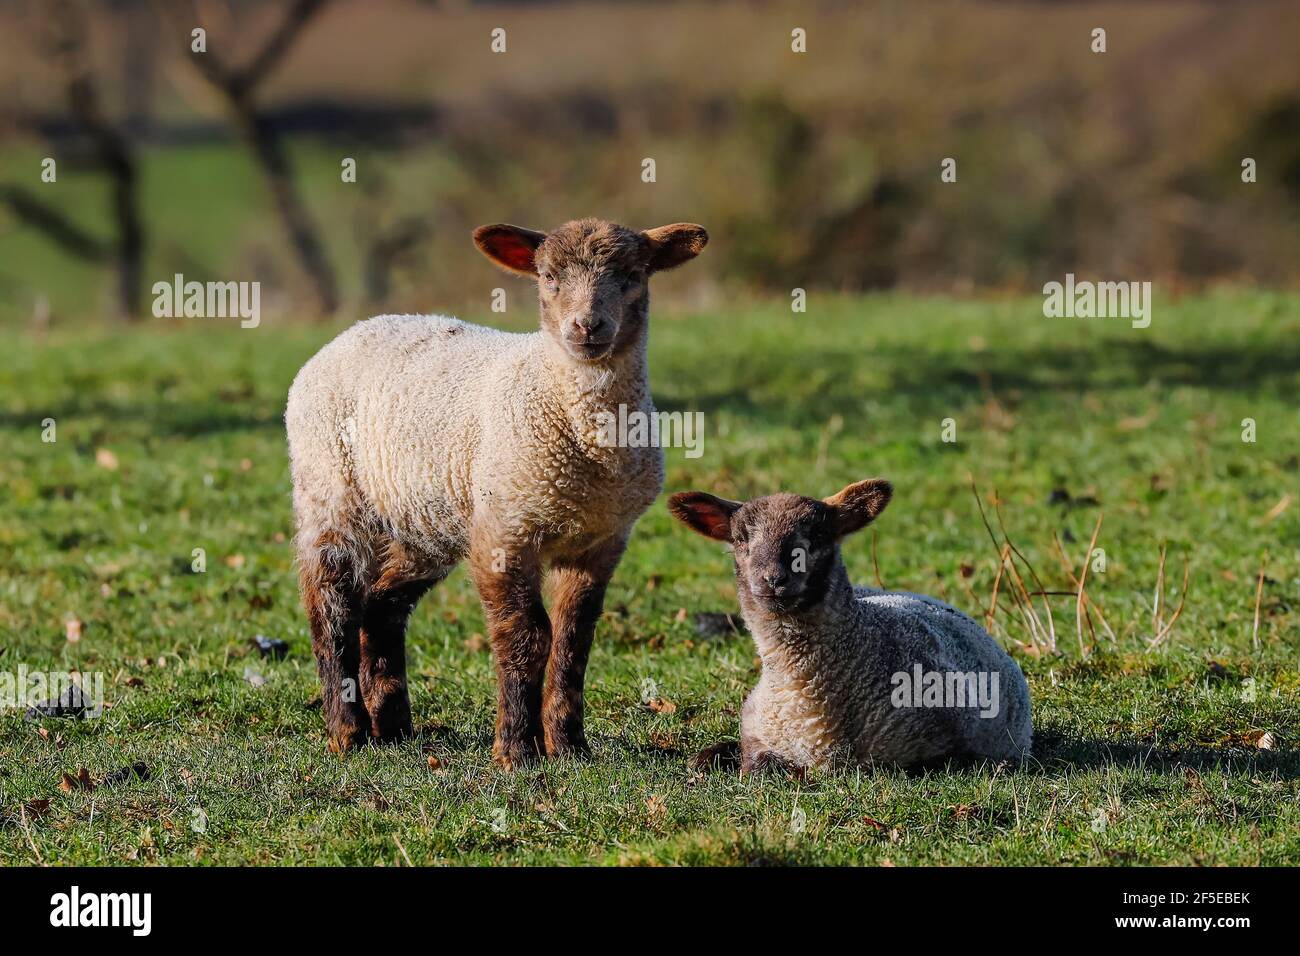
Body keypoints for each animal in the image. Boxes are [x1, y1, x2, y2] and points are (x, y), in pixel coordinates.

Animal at [286, 218, 708, 767]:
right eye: (548, 276)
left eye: (633, 275)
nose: (587, 327)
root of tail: (350, 333)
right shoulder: (505, 531)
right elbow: (526, 636)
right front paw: (516, 750)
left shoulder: (602, 540)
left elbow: (574, 638)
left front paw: (569, 746)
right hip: (329, 486)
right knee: (329, 601)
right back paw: (348, 732)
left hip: (425, 519)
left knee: (383, 604)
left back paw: (394, 728)